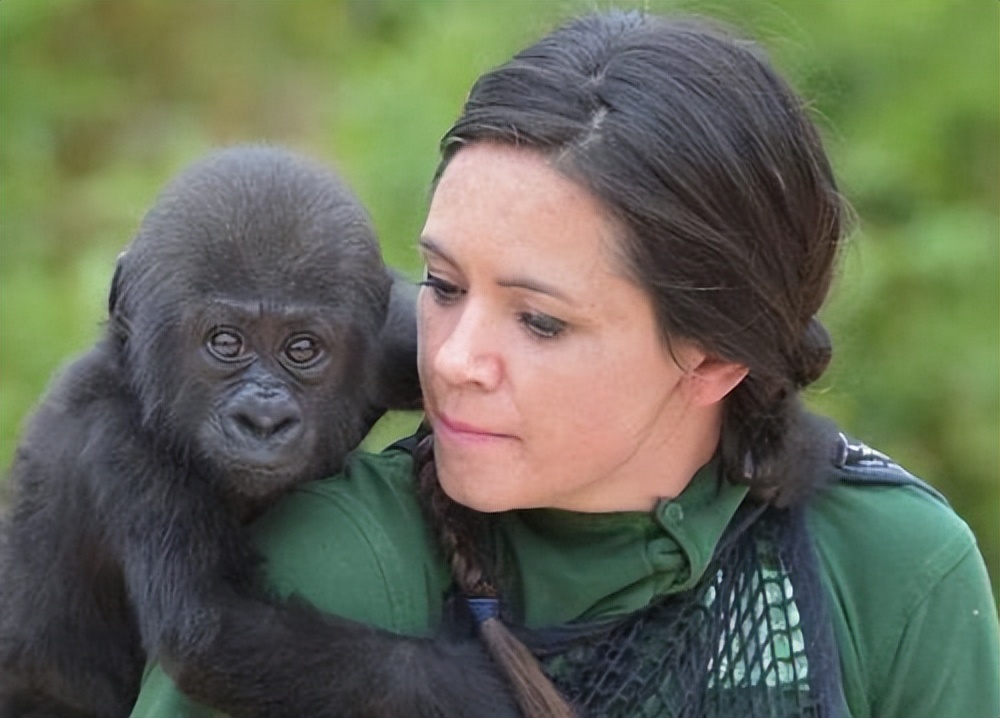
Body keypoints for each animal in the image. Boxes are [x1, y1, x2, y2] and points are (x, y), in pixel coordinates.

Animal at [0, 146, 517, 718]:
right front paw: (465, 687)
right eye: (226, 342)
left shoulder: (402, 342)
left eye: (302, 349)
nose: (263, 420)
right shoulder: (124, 446)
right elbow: (208, 627)